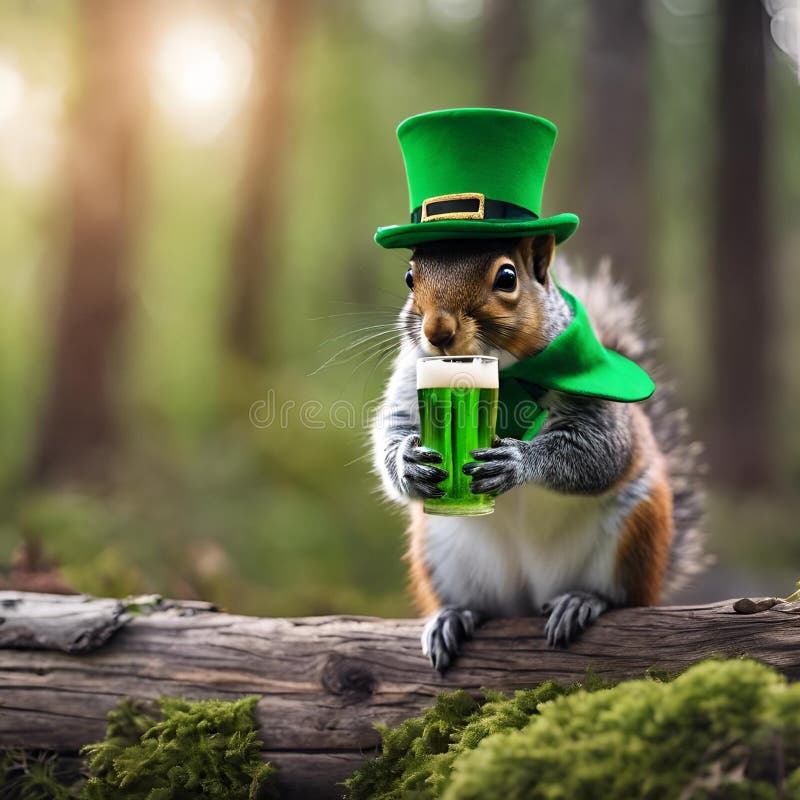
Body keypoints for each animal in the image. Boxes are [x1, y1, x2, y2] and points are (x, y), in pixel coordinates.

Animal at [371, 234, 708, 673]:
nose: (436, 331)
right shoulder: (412, 373)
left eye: (507, 277)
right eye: (410, 277)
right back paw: (453, 615)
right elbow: (392, 430)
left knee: (622, 599)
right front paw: (408, 465)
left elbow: (599, 450)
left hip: (634, 533)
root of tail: (531, 596)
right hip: (441, 552)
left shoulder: (600, 410)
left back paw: (582, 601)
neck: (502, 370)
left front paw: (519, 462)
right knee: (479, 605)